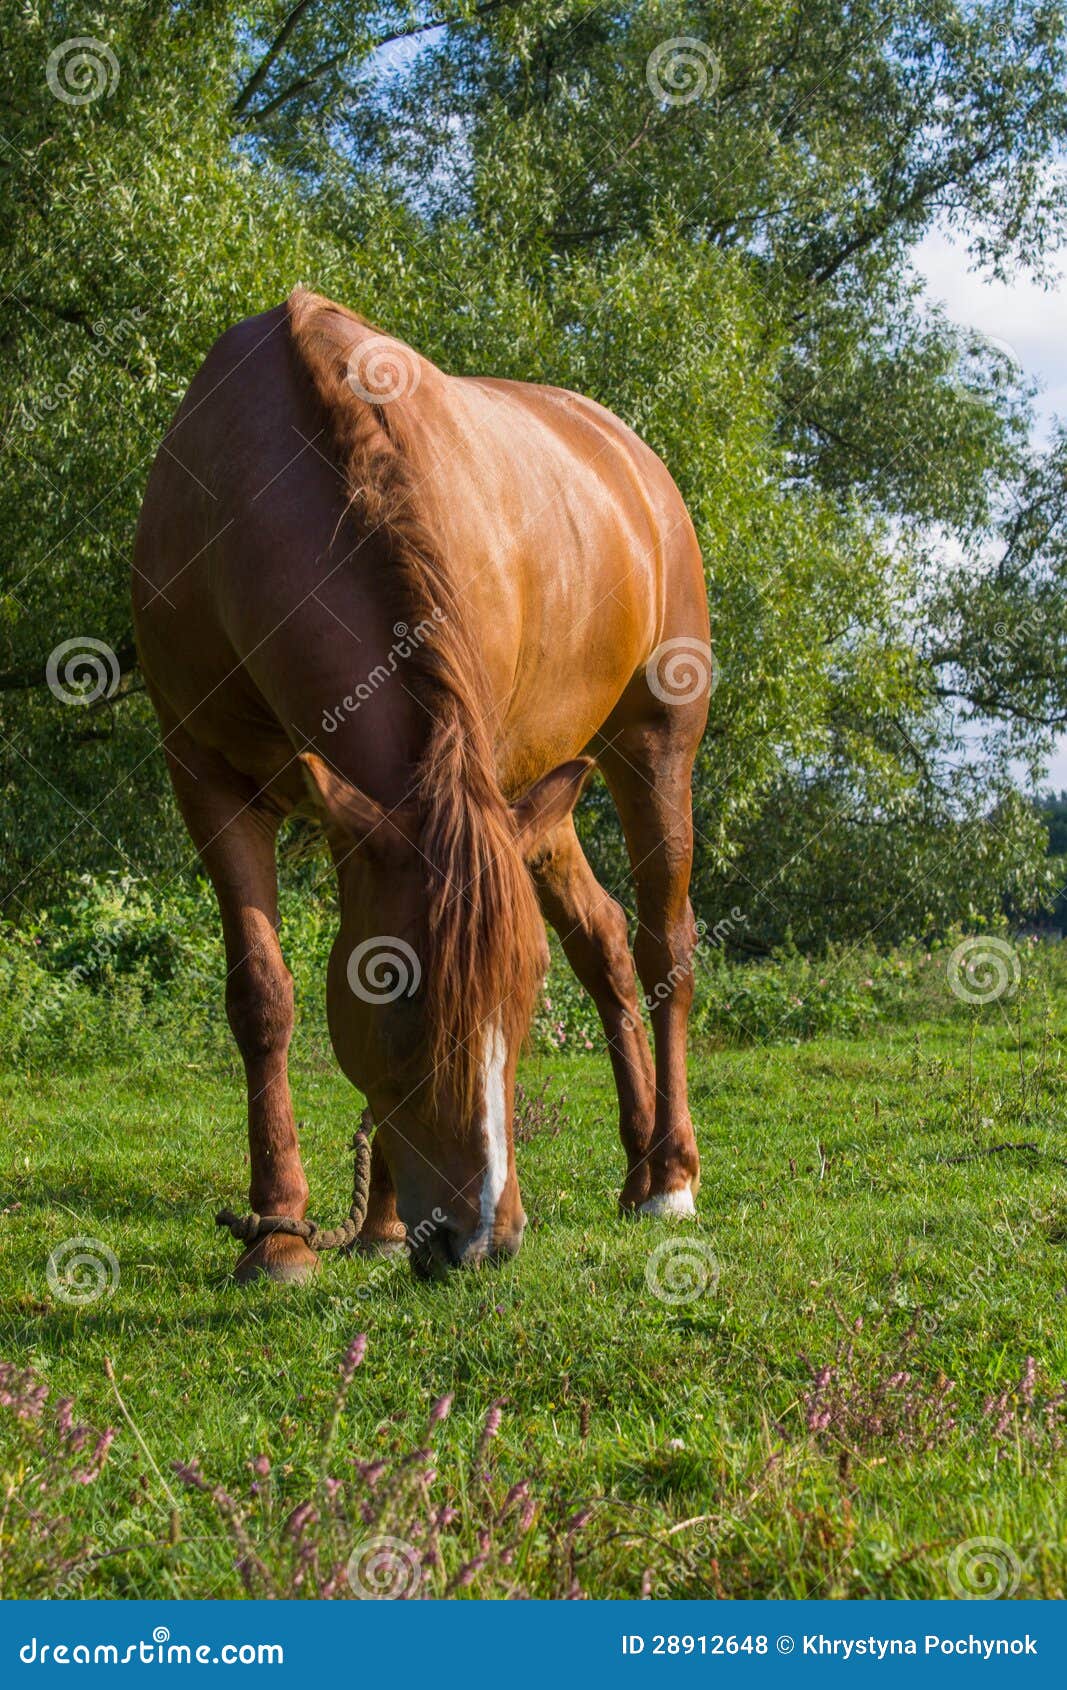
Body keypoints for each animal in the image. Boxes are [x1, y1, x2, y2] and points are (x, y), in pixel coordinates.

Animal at [132, 288, 710, 1281]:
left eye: (521, 997)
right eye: (395, 993)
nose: (484, 1238)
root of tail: (630, 456)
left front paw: (370, 1222)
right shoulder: (210, 778)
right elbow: (263, 995)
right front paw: (287, 1236)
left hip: (651, 748)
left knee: (660, 945)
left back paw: (669, 1176)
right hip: (538, 797)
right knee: (604, 941)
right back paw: (638, 1165)